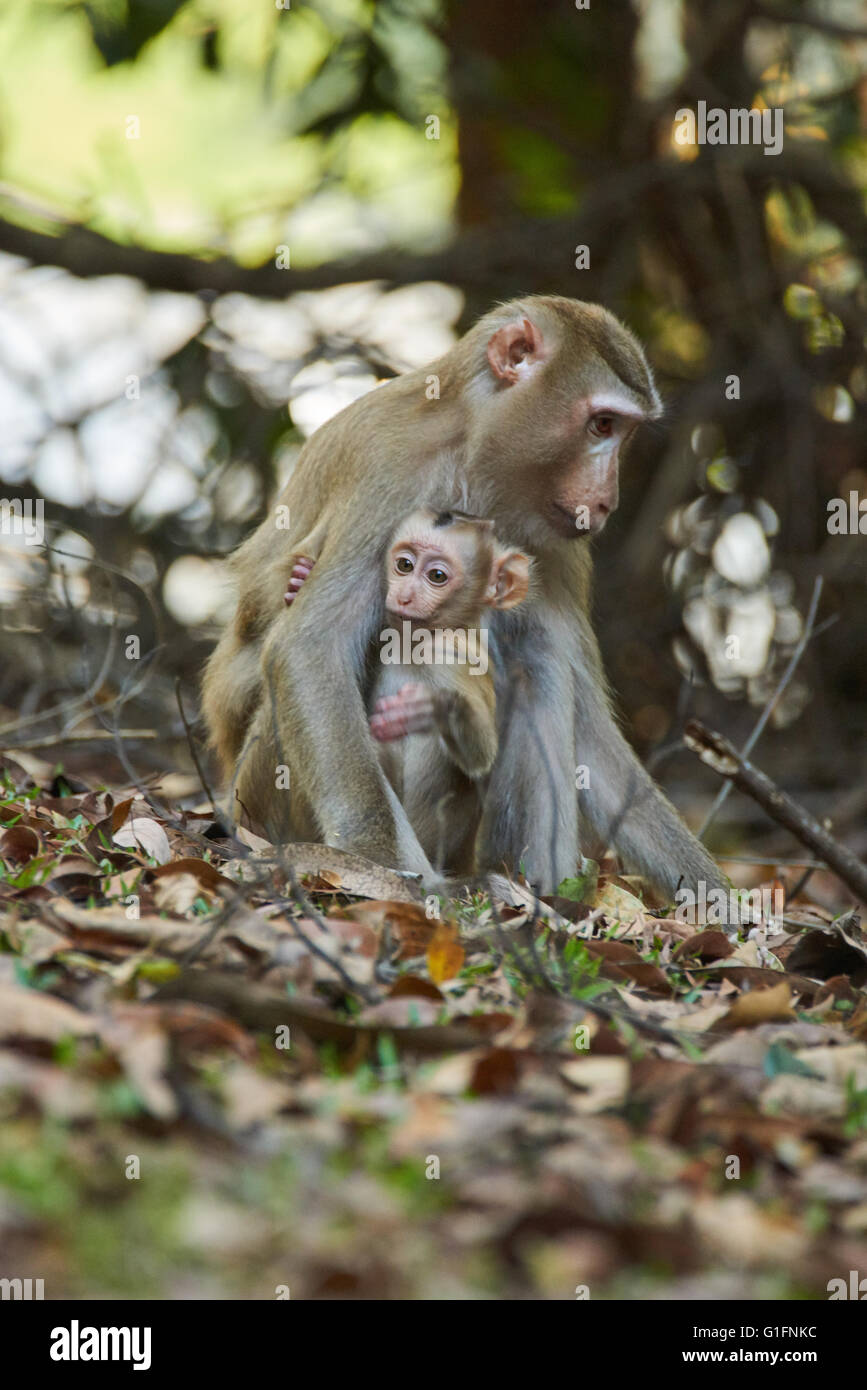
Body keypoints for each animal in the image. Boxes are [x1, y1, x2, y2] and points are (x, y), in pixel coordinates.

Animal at [282, 506, 530, 870]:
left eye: (437, 576)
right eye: (405, 565)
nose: (404, 596)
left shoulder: (452, 657)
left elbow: (482, 753)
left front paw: (436, 707)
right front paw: (300, 577)